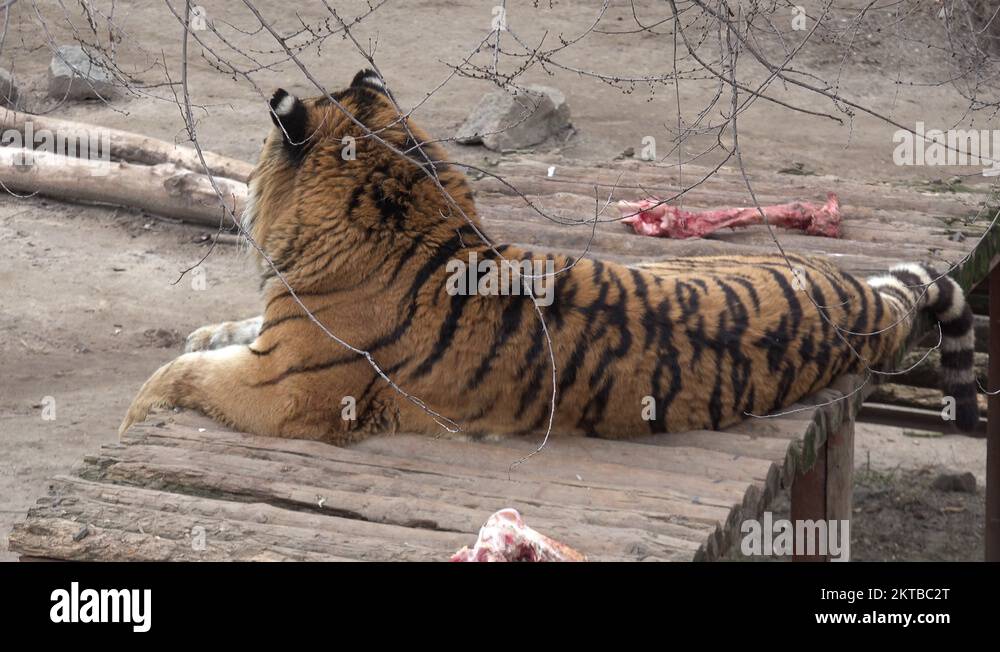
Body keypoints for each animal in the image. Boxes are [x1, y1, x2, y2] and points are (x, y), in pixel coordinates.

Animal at [118, 69, 979, 443]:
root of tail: (859, 299)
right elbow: (215, 341)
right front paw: (206, 330)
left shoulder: (282, 392)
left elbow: (180, 376)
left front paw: (135, 412)